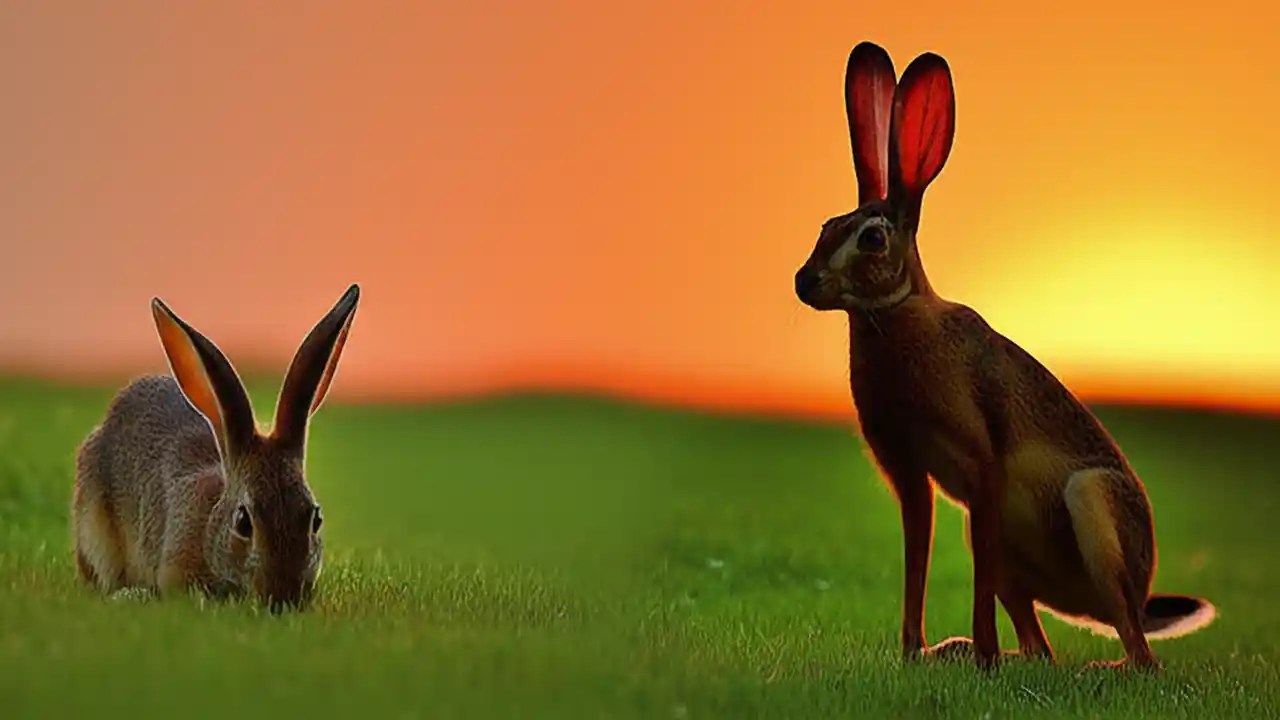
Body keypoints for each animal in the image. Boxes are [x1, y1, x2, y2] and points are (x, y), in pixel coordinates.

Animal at [793, 42, 1214, 670]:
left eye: (871, 238)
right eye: (826, 226)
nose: (804, 282)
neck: (899, 311)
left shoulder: (981, 462)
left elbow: (971, 563)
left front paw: (982, 659)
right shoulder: (908, 470)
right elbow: (917, 553)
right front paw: (915, 652)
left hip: (1093, 510)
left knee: (1137, 648)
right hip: (1019, 559)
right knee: (1041, 642)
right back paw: (973, 653)